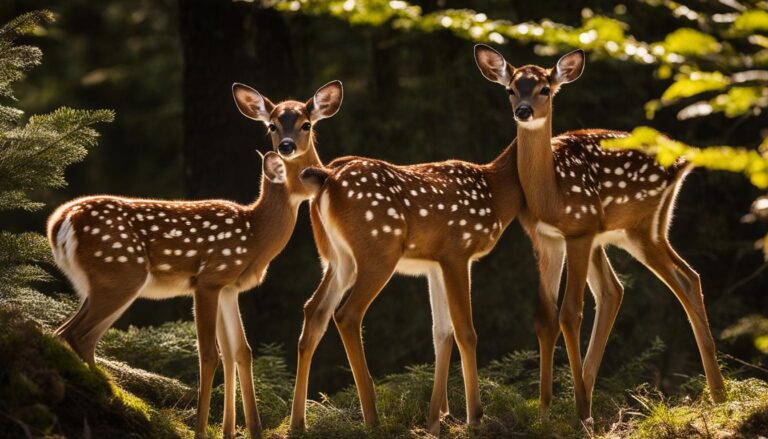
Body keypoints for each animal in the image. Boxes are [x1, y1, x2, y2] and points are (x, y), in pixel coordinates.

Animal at [47, 80, 343, 439]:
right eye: (273, 126)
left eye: (306, 125)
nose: (325, 176)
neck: (255, 234)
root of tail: (59, 223)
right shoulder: (208, 279)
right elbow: (209, 354)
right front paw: (203, 429)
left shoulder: (229, 287)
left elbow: (240, 351)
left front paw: (250, 428)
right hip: (119, 274)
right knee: (78, 334)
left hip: (99, 283)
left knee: (69, 333)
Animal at [474, 44, 727, 426]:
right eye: (511, 89)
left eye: (545, 89)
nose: (523, 111)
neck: (551, 195)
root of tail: (682, 159)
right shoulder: (545, 238)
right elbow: (545, 316)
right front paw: (546, 410)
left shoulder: (578, 232)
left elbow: (570, 312)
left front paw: (579, 414)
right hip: (626, 232)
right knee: (622, 288)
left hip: (641, 226)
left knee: (683, 280)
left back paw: (716, 394)